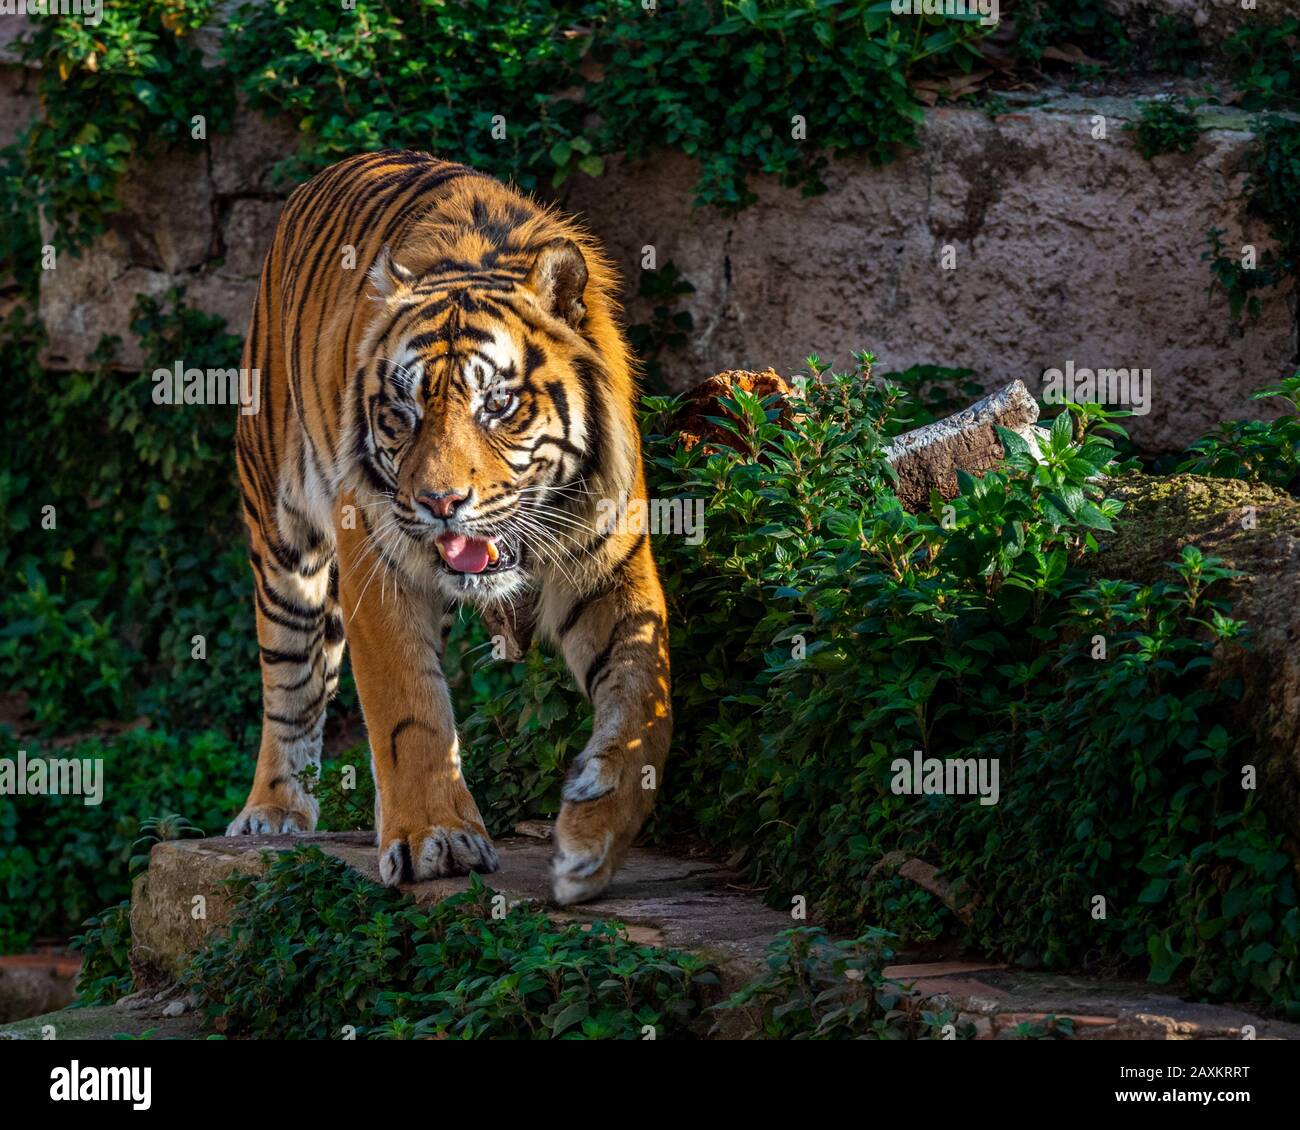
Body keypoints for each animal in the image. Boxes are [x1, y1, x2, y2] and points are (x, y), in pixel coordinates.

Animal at [225, 149, 671, 905]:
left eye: (498, 404)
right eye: (401, 413)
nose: (440, 502)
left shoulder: (609, 565)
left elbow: (643, 697)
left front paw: (592, 841)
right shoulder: (378, 560)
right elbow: (408, 708)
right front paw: (433, 836)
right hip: (284, 538)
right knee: (290, 683)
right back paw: (273, 811)